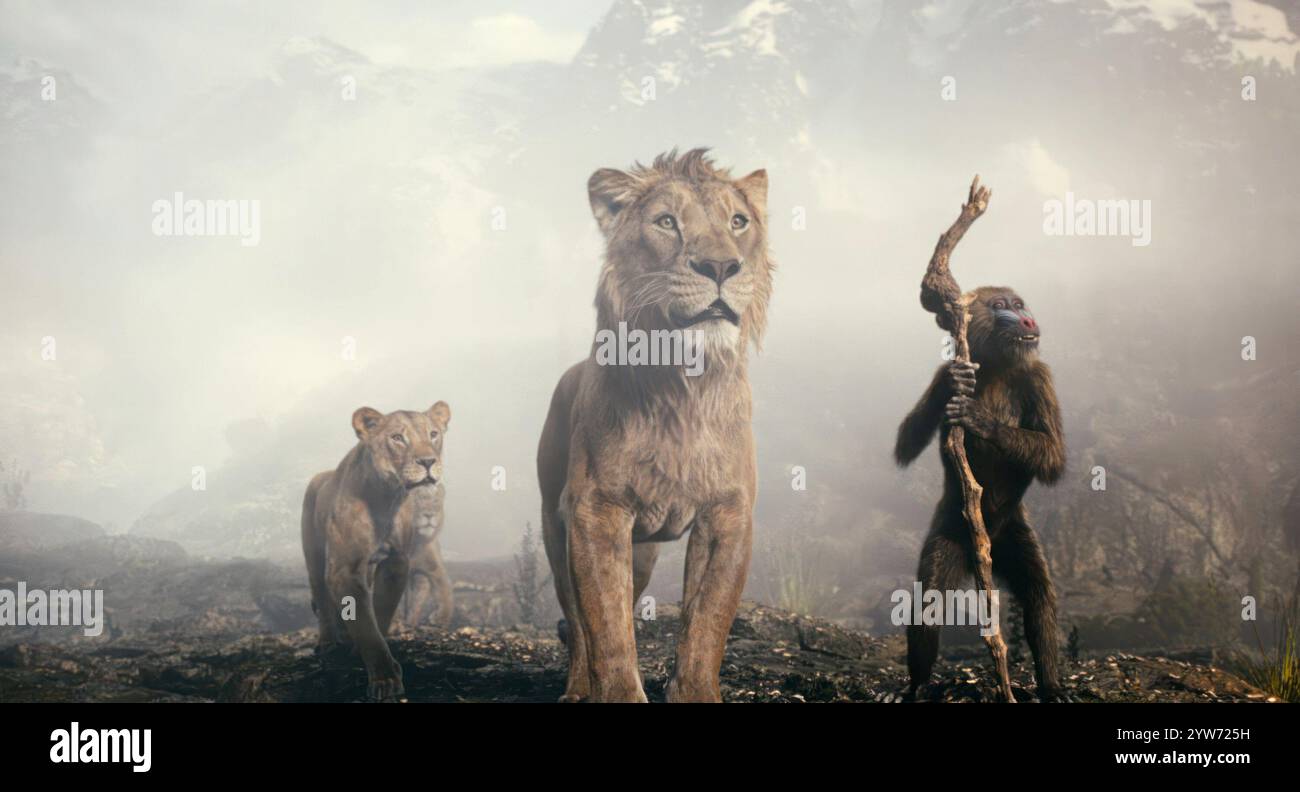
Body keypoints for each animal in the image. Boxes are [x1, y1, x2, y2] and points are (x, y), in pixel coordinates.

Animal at [301, 402, 453, 701]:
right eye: (397, 438)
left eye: (433, 434)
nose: (428, 462)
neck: (386, 498)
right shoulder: (344, 570)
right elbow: (364, 623)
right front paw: (385, 679)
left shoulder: (396, 562)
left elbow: (379, 612)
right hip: (313, 553)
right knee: (321, 596)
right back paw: (328, 642)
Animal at [537, 148, 772, 702]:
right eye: (667, 222)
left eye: (739, 222)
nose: (720, 266)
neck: (684, 387)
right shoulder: (596, 511)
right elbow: (606, 626)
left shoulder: (728, 513)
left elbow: (707, 622)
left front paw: (695, 692)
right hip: (556, 525)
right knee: (577, 621)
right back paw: (577, 687)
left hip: (641, 552)